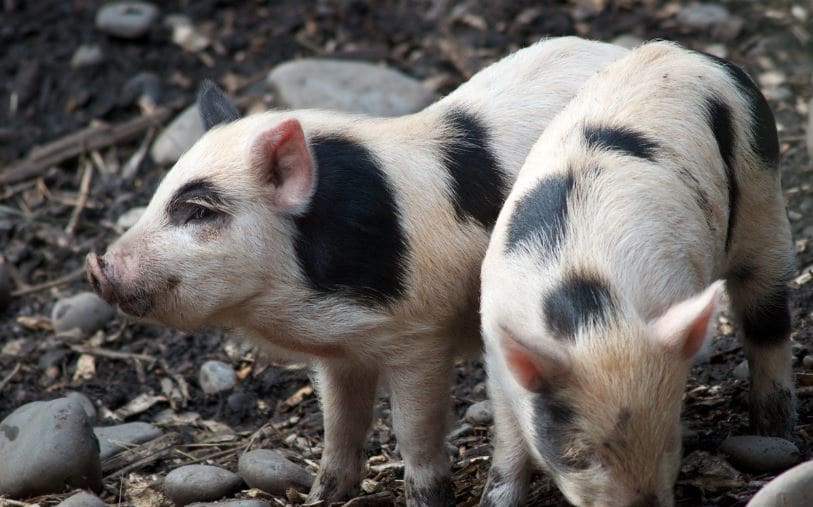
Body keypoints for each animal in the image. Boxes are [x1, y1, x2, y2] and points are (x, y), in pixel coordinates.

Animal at [85, 37, 628, 506]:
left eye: (198, 211)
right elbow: (340, 430)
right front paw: (319, 498)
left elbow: (414, 434)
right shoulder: (341, 354)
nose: (97, 265)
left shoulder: (420, 337)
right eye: (158, 194)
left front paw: (425, 499)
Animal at [479, 41, 794, 507]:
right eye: (582, 456)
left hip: (763, 197)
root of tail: (686, 52)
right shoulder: (497, 357)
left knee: (767, 319)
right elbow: (510, 441)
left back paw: (776, 434)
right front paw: (497, 499)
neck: (597, 322)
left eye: (667, 442)